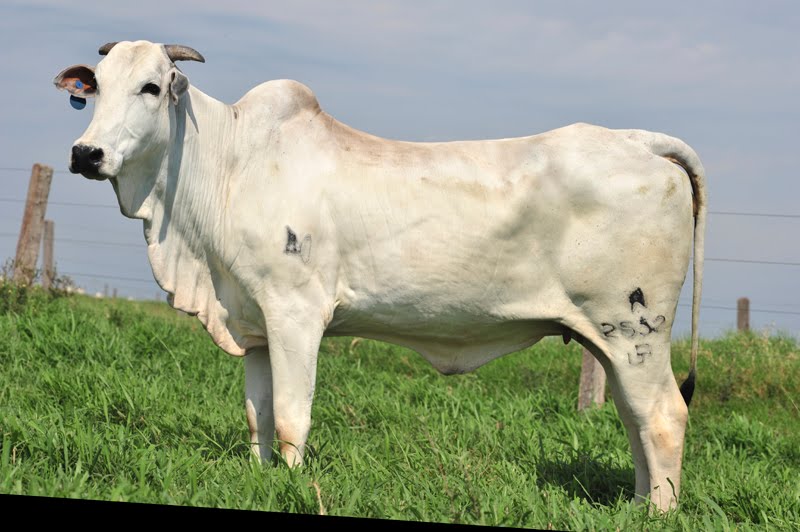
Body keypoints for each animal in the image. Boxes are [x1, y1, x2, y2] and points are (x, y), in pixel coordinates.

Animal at [54, 40, 706, 512]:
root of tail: (638, 142)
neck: (228, 167)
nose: (86, 155)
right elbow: (258, 417)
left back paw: (658, 513)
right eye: (96, 87)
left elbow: (290, 416)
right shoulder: (255, 322)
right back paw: (637, 505)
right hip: (613, 341)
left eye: (151, 86)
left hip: (636, 327)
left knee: (664, 417)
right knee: (634, 418)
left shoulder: (296, 313)